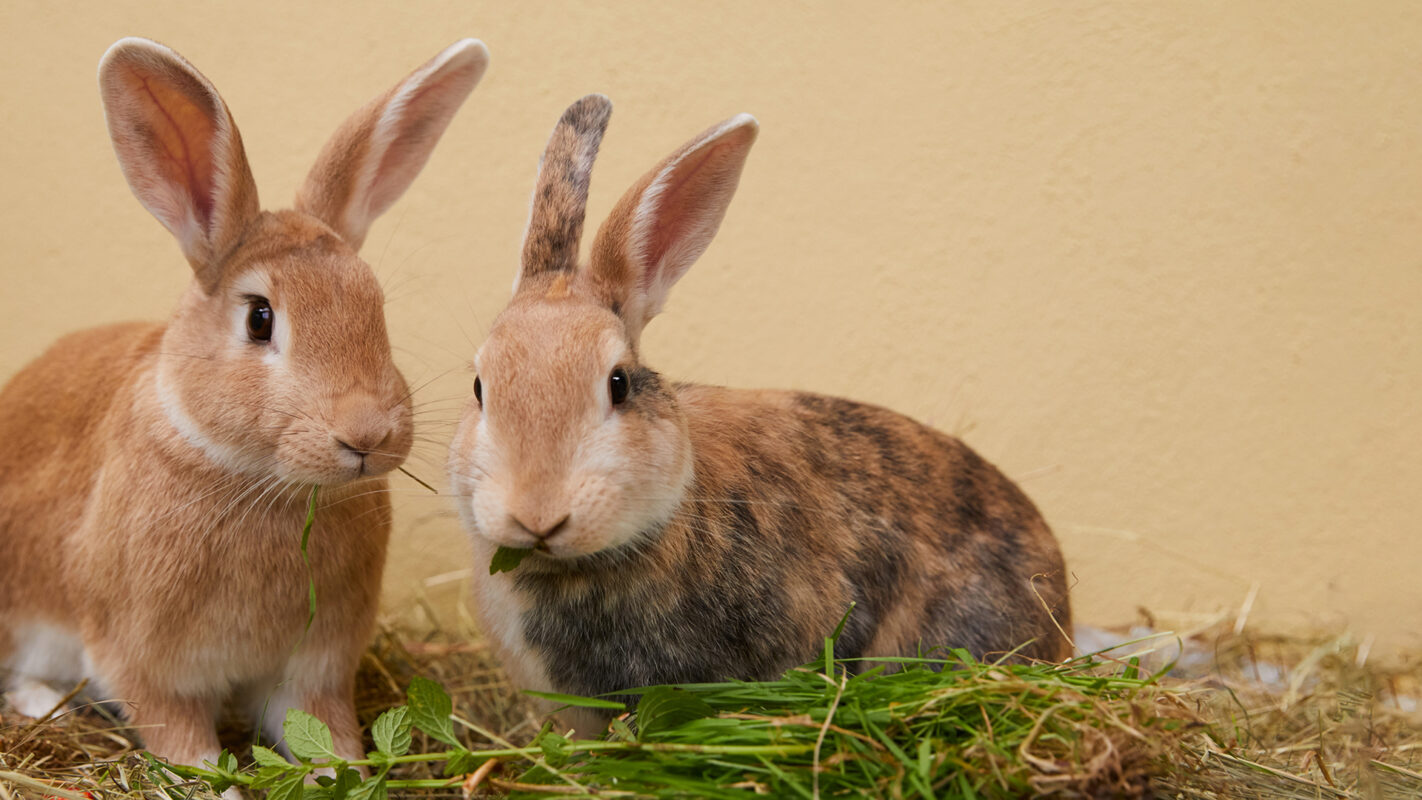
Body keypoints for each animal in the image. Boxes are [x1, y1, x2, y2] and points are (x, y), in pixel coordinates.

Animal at [0, 36, 487, 773]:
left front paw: (349, 771)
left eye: (375, 305)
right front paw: (219, 779)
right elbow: (185, 745)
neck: (260, 482)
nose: (367, 434)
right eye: (260, 318)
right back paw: (40, 702)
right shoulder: (146, 666)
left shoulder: (310, 670)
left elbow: (326, 738)